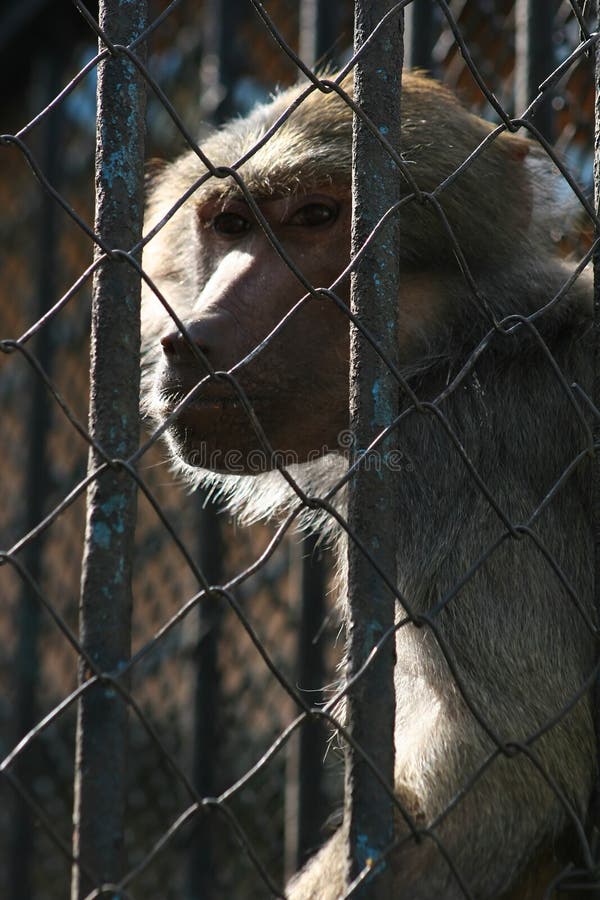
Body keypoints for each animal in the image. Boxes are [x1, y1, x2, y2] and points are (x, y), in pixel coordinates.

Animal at [141, 71, 596, 898]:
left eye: (317, 218)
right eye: (230, 225)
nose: (193, 335)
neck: (463, 350)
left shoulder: (451, 471)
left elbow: (506, 768)